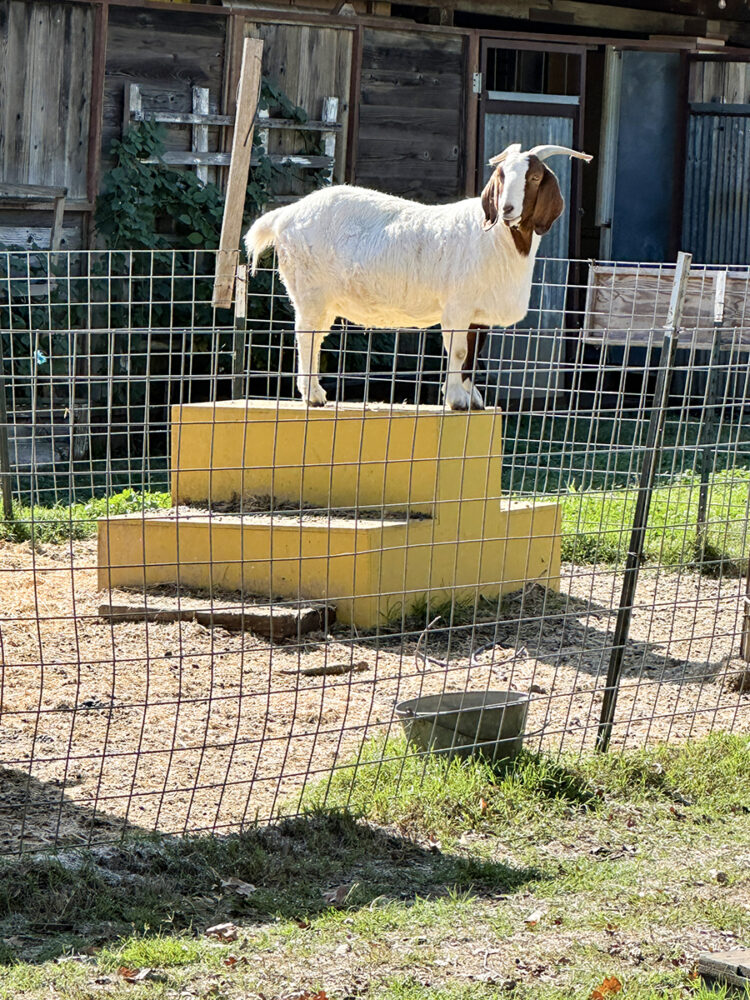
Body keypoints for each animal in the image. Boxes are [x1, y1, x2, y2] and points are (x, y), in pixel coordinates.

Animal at [245, 142, 592, 410]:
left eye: (534, 177)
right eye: (502, 176)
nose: (507, 209)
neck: (497, 240)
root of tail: (285, 215)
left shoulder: (478, 314)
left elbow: (474, 353)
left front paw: (473, 399)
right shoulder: (457, 306)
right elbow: (459, 351)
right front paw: (456, 400)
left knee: (315, 337)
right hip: (310, 291)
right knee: (307, 336)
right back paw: (313, 396)